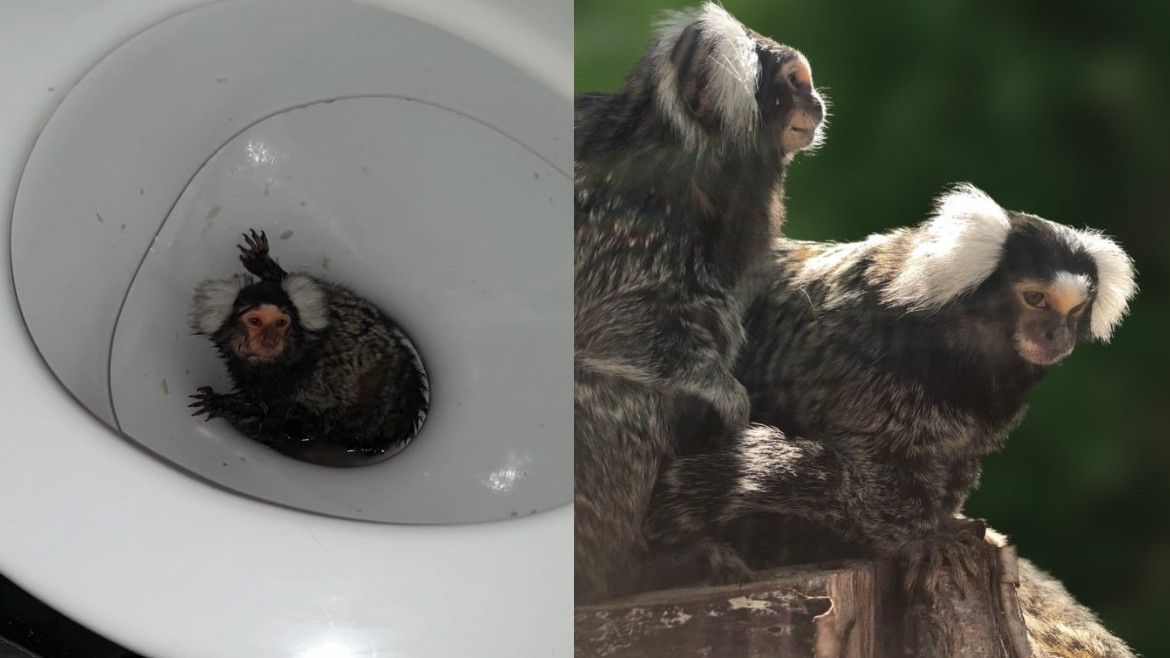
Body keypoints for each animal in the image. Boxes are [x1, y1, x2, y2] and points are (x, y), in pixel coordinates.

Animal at [188, 229, 429, 467]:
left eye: (280, 323)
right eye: (255, 321)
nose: (269, 339)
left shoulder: (303, 382)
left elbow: (268, 410)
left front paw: (221, 402)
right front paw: (263, 263)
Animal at [574, 2, 826, 602]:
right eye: (793, 82)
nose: (815, 102)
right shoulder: (623, 218)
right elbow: (604, 323)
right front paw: (729, 397)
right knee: (612, 393)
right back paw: (632, 568)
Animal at [643, 184, 1136, 639]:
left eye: (1074, 311)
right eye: (1035, 299)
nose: (1056, 335)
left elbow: (955, 458)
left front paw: (946, 521)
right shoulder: (861, 358)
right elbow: (875, 462)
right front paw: (925, 538)